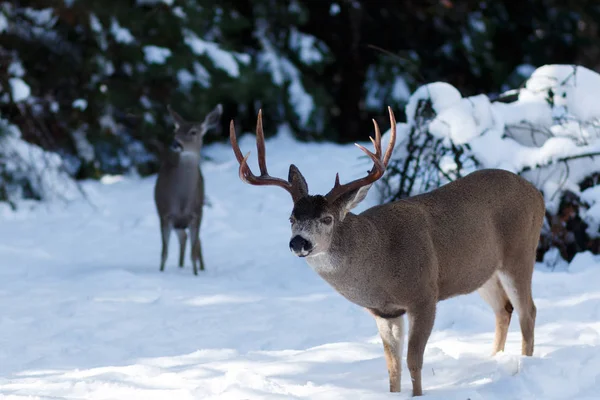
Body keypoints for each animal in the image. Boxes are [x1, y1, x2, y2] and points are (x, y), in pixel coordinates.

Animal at [154, 104, 221, 276]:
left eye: (193, 132)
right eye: (175, 131)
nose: (176, 144)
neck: (182, 201)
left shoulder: (196, 214)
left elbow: (193, 252)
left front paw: (196, 274)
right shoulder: (165, 214)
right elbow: (164, 252)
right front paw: (161, 272)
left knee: (195, 244)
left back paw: (199, 267)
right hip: (176, 222)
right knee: (183, 239)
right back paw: (180, 266)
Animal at [229, 107, 544, 396]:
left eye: (327, 219)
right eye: (291, 218)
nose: (298, 243)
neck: (382, 261)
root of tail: (537, 193)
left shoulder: (424, 295)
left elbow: (414, 360)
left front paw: (417, 395)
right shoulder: (385, 311)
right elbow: (392, 365)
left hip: (520, 251)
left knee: (528, 310)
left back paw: (526, 365)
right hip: (482, 272)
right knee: (504, 309)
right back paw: (494, 361)